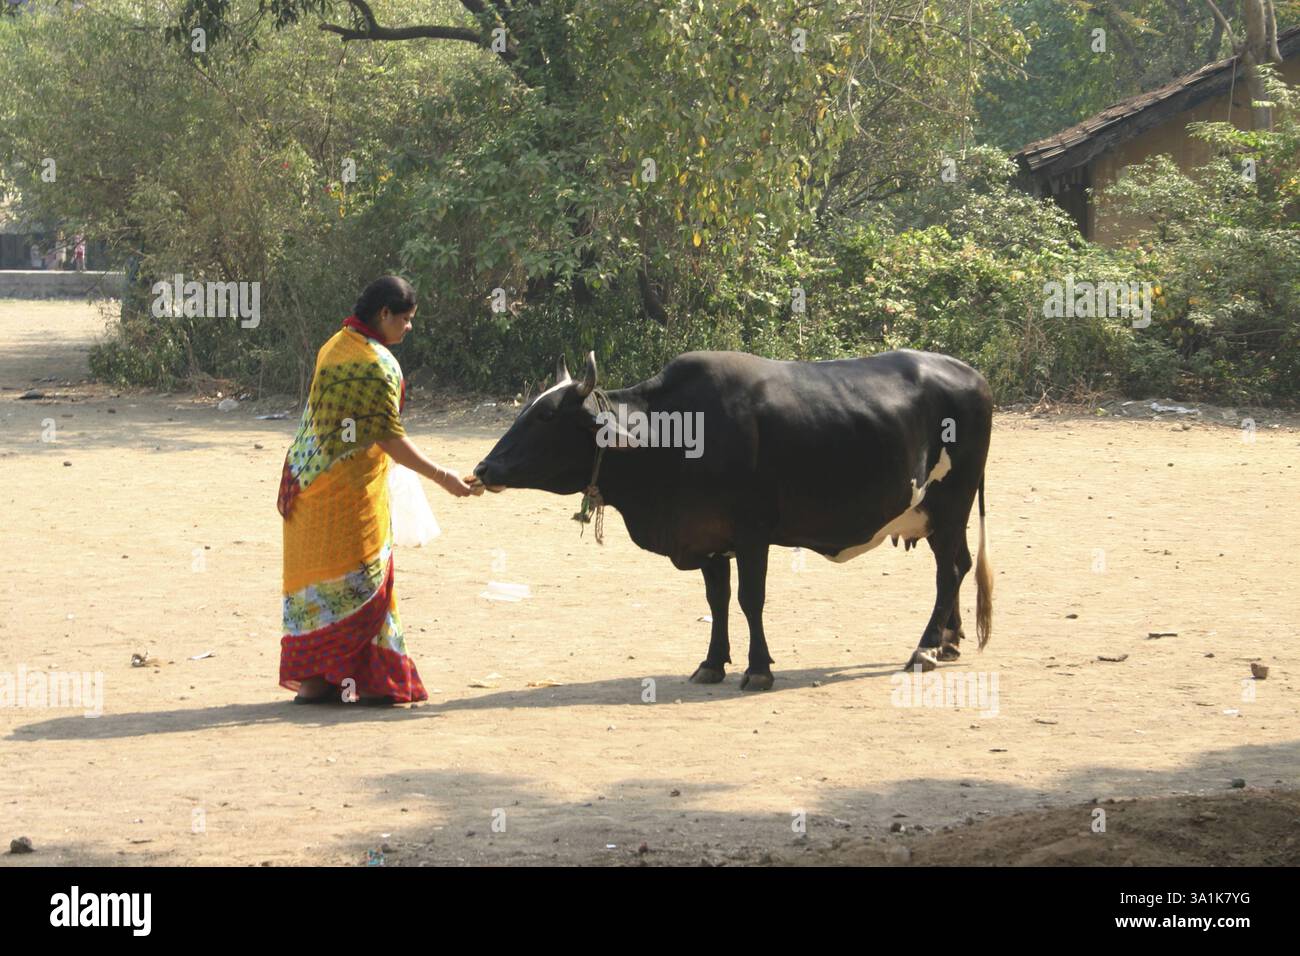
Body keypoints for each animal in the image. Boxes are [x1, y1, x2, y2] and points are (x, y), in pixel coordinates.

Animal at [472, 349, 993, 689]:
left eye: (546, 417)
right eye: (526, 409)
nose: (483, 468)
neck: (677, 433)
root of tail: (973, 375)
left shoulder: (752, 534)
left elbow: (749, 600)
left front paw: (758, 668)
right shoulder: (708, 539)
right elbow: (718, 600)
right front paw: (712, 662)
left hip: (952, 505)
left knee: (948, 573)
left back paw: (925, 648)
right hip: (942, 516)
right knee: (959, 565)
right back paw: (949, 641)